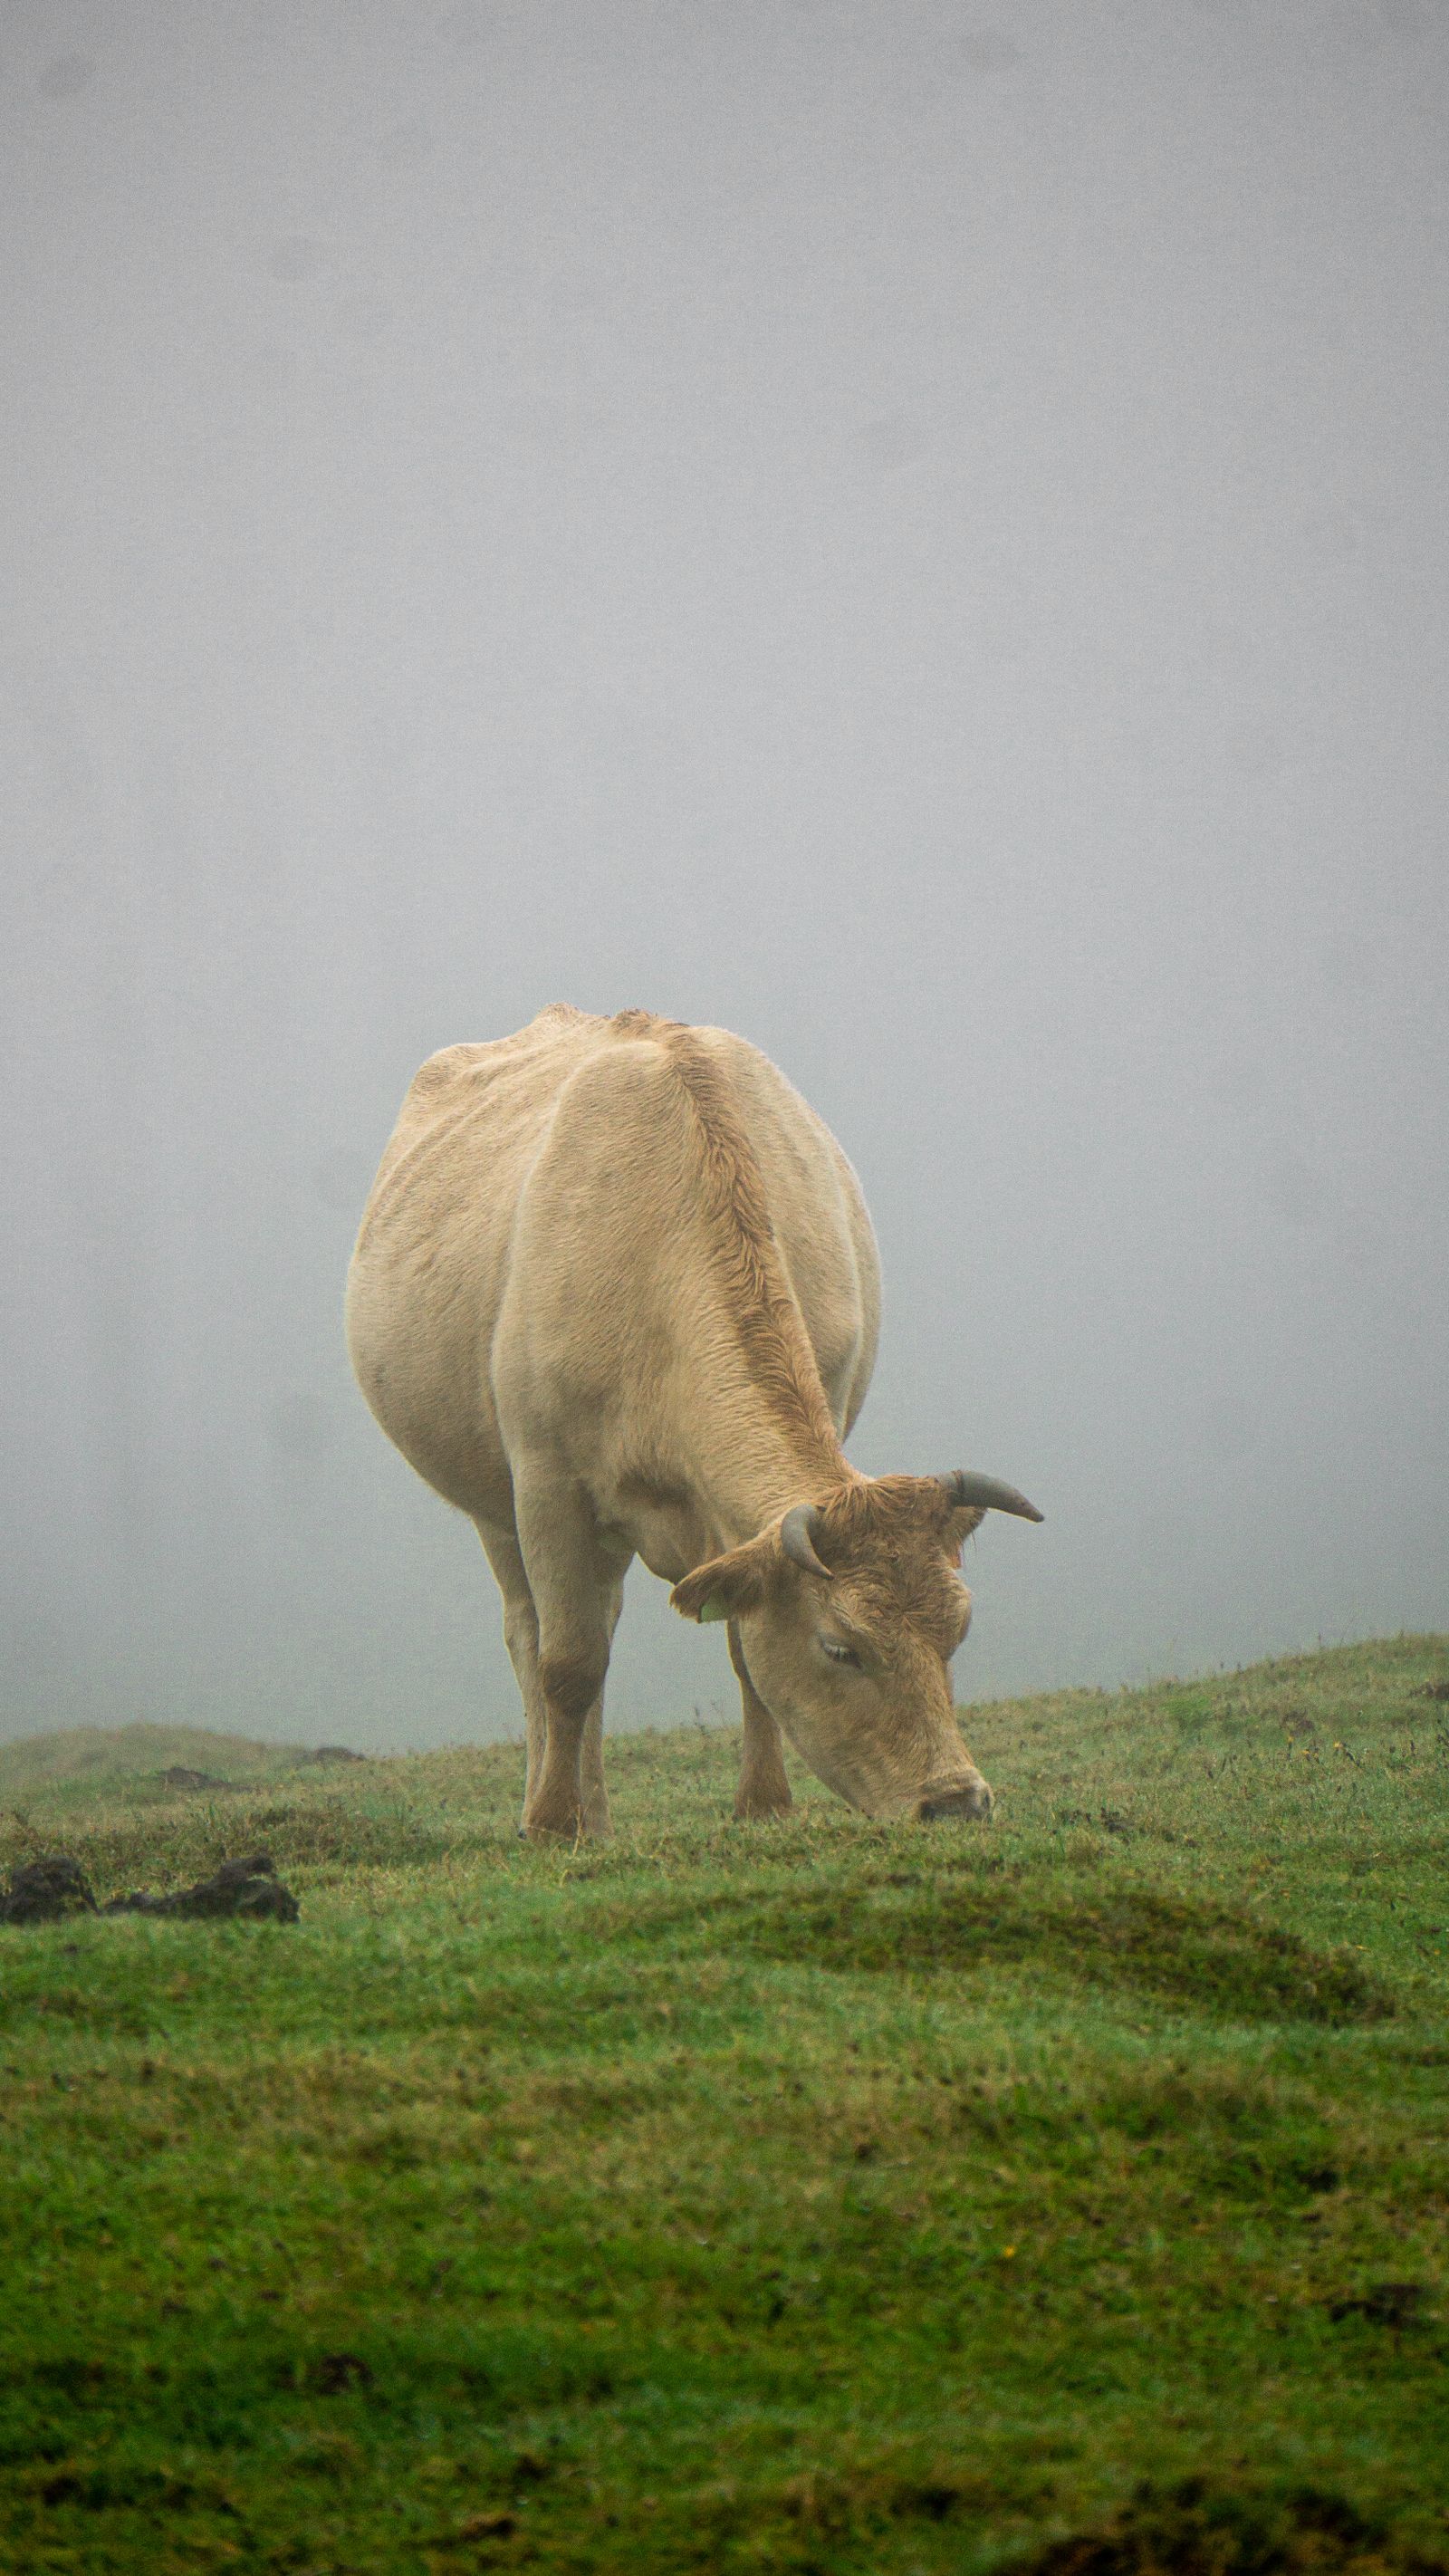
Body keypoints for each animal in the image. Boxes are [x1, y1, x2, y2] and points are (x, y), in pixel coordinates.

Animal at [345, 1006, 1041, 1838]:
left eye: (957, 1630)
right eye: (841, 1648)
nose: (957, 1801)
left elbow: (739, 1649)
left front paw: (763, 1803)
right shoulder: (545, 1484)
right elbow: (565, 1663)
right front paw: (549, 1823)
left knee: (602, 1620)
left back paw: (598, 1818)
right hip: (492, 1500)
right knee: (530, 1633)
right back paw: (553, 1808)